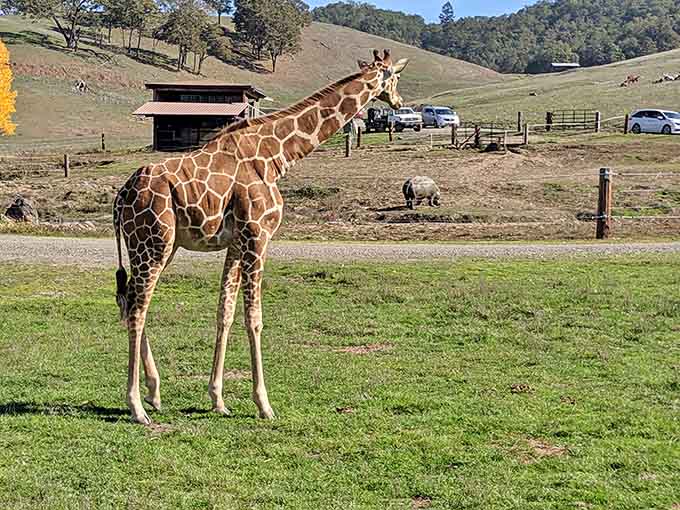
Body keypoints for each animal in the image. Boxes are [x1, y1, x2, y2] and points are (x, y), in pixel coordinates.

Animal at [114, 49, 409, 424]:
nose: (399, 102)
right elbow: (254, 318)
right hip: (153, 242)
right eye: (394, 77)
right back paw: (137, 406)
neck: (276, 156)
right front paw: (264, 404)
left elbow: (224, 312)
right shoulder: (258, 234)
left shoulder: (235, 244)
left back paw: (154, 392)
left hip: (157, 246)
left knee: (132, 301)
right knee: (137, 308)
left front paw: (218, 399)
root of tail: (122, 194)